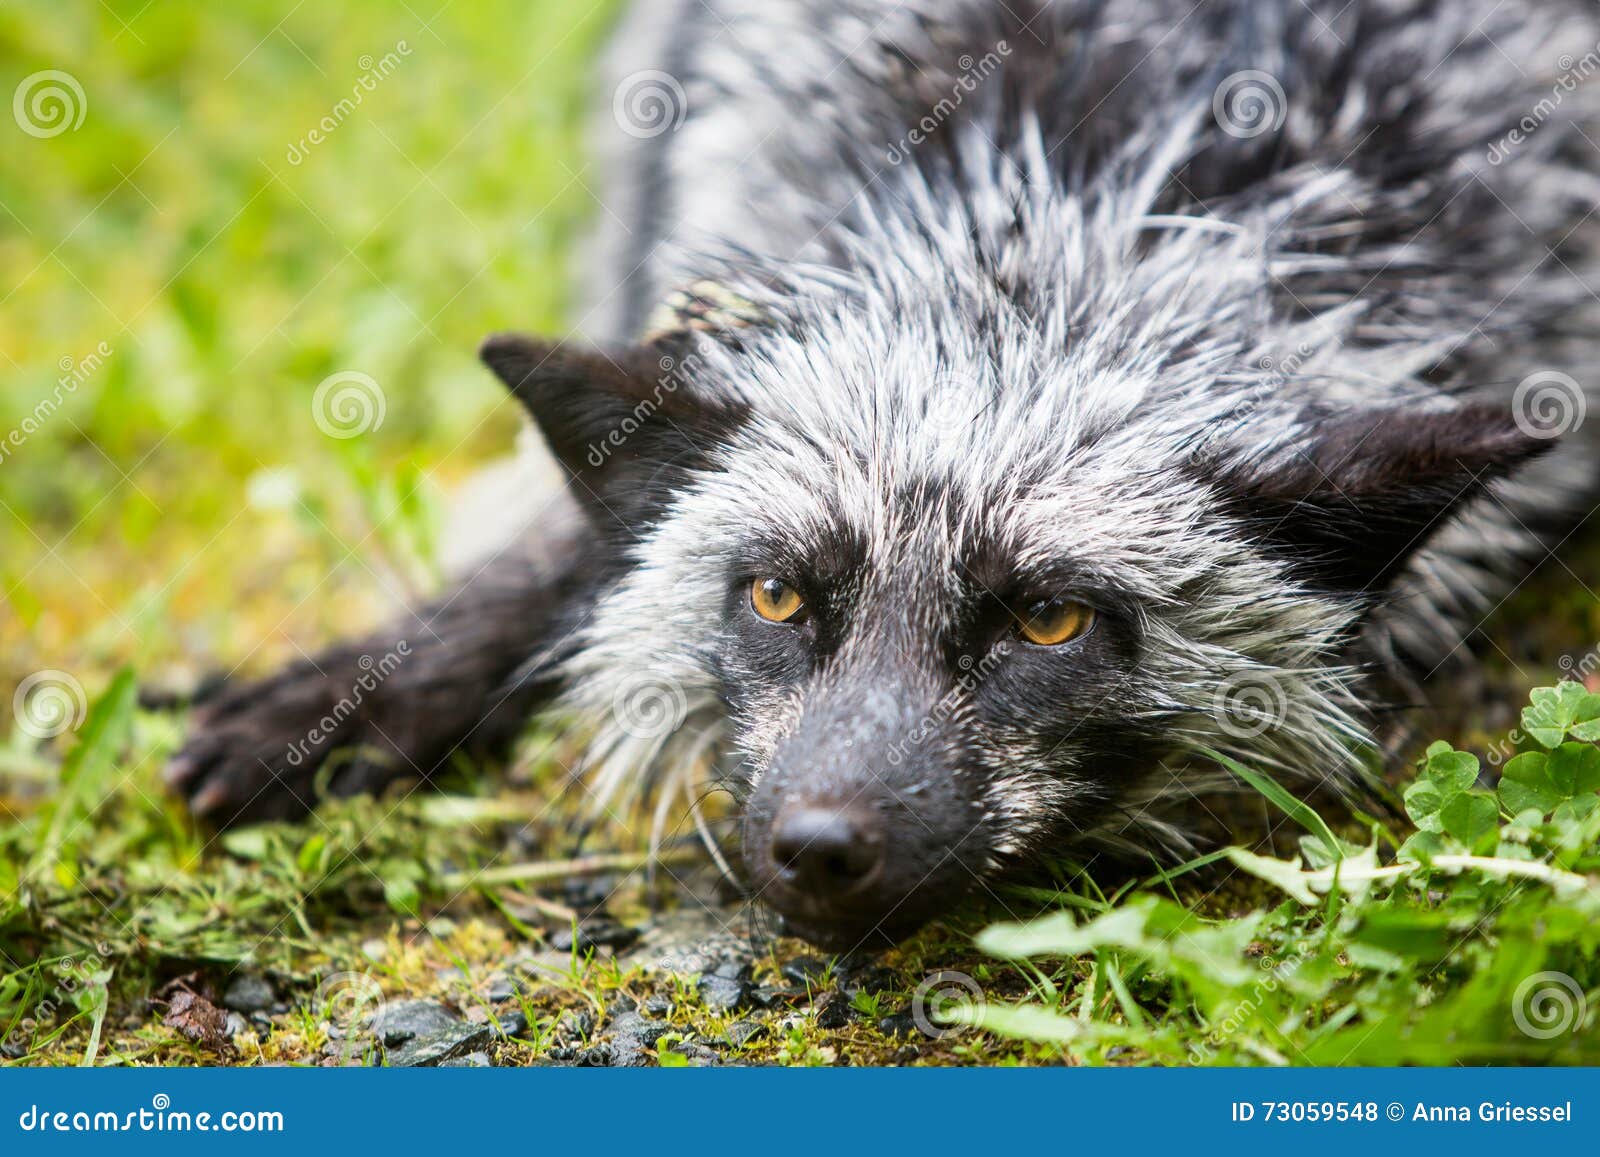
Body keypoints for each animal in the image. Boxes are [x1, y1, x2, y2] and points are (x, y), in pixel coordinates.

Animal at [167, 0, 1600, 950]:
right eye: (775, 597)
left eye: (1049, 619)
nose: (814, 849)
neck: (1071, 200)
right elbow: (567, 551)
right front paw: (349, 690)